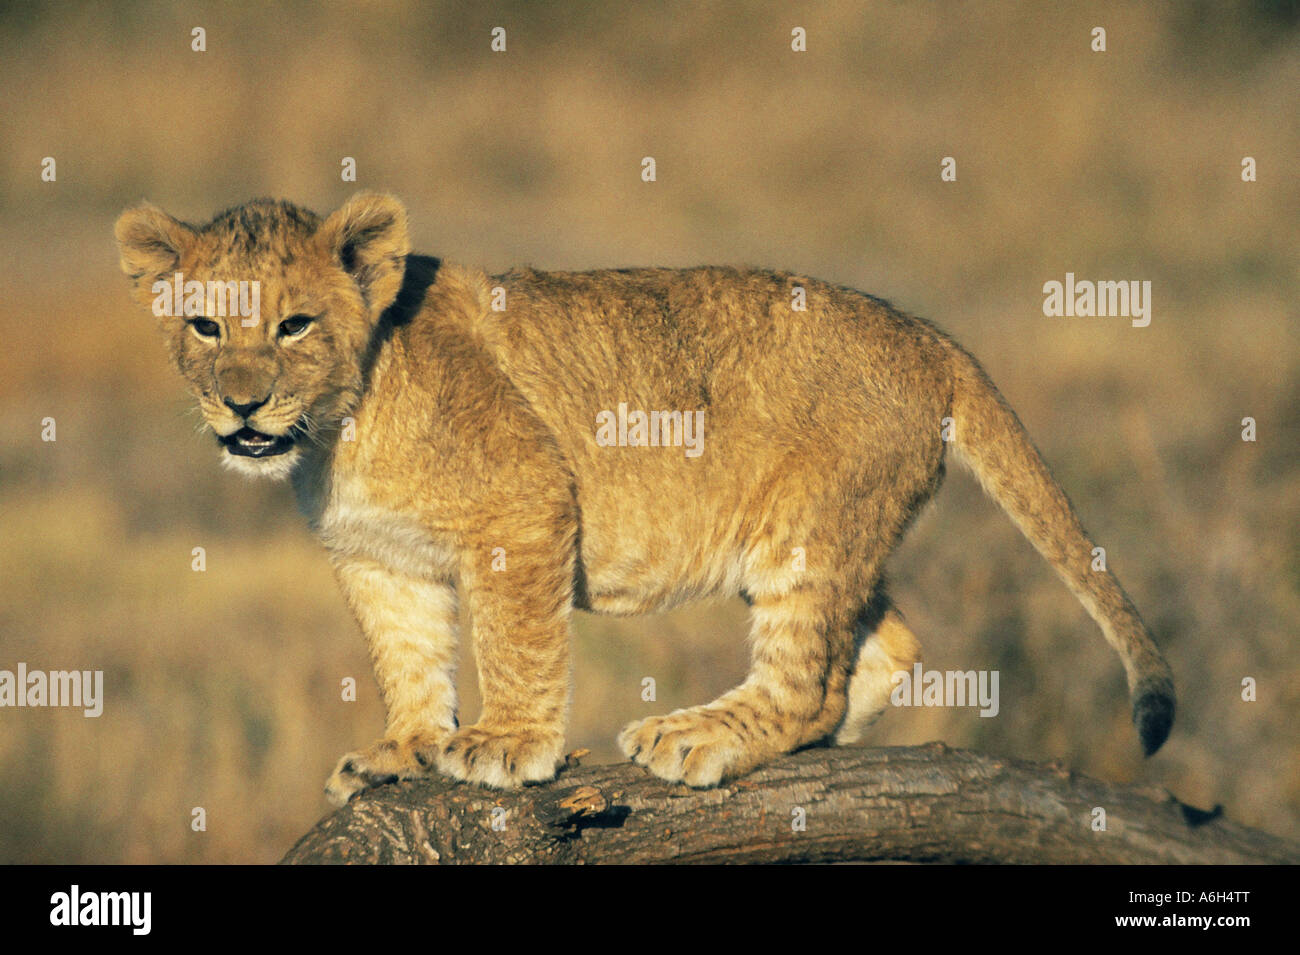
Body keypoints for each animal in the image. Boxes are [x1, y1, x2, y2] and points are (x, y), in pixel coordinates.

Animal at [114, 192, 1175, 804]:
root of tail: (929, 337)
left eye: (293, 325)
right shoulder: (378, 560)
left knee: (807, 682)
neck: (338, 430)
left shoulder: (525, 505)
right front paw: (403, 749)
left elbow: (516, 642)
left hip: (801, 531)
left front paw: (507, 744)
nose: (241, 402)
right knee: (889, 648)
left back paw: (693, 734)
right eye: (205, 326)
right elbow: (407, 660)